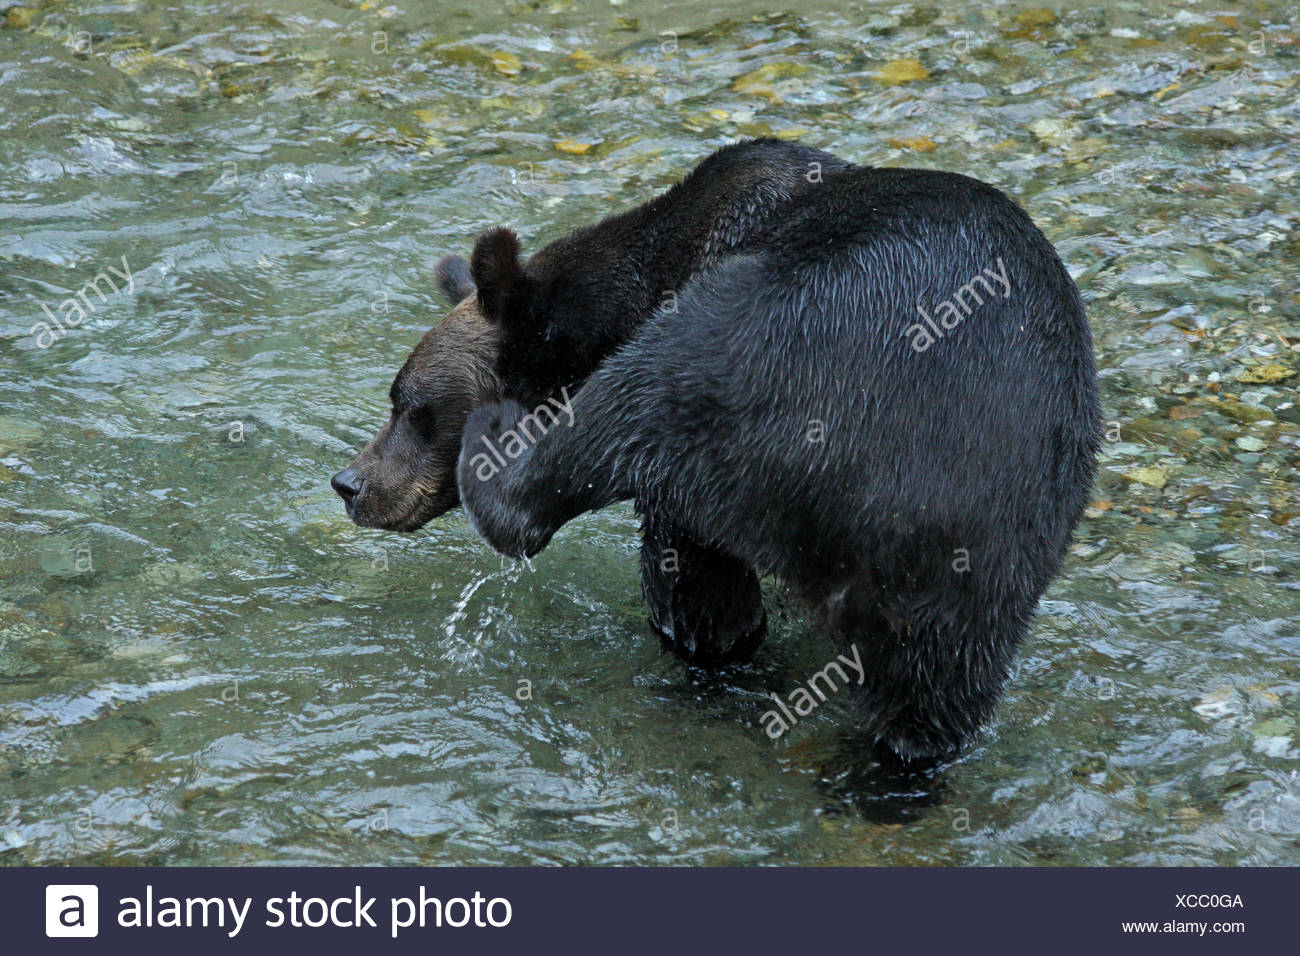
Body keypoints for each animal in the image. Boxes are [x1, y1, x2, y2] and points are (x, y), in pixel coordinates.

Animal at [457, 157, 1101, 761]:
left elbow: (691, 579)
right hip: (992, 544)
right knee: (939, 682)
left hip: (742, 358)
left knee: (630, 404)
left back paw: (492, 456)